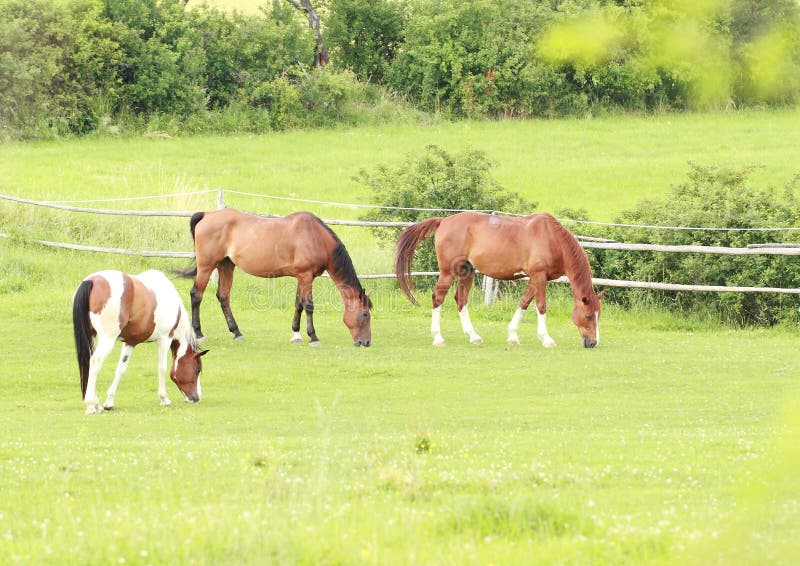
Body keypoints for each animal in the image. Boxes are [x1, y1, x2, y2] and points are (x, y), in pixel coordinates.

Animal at [72, 270, 207, 414]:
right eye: (197, 369)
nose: (196, 398)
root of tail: (91, 281)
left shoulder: (130, 342)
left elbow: (121, 369)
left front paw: (109, 402)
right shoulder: (165, 338)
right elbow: (162, 367)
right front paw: (164, 399)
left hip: (91, 336)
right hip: (107, 339)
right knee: (95, 362)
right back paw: (92, 404)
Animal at [183, 208, 372, 347]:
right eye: (365, 314)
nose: (366, 342)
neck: (315, 237)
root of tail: (207, 215)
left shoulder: (302, 277)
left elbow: (298, 304)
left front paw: (296, 334)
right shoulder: (306, 276)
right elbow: (308, 305)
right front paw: (313, 337)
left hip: (226, 265)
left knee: (223, 296)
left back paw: (237, 332)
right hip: (206, 266)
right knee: (196, 295)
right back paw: (199, 334)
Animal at [394, 211, 604, 348]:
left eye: (598, 315)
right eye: (587, 316)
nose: (593, 343)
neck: (552, 239)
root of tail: (443, 220)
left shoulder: (534, 278)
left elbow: (524, 302)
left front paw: (512, 336)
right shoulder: (539, 276)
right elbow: (541, 306)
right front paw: (546, 339)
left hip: (467, 272)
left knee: (461, 300)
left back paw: (473, 336)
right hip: (448, 272)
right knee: (438, 297)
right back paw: (438, 338)